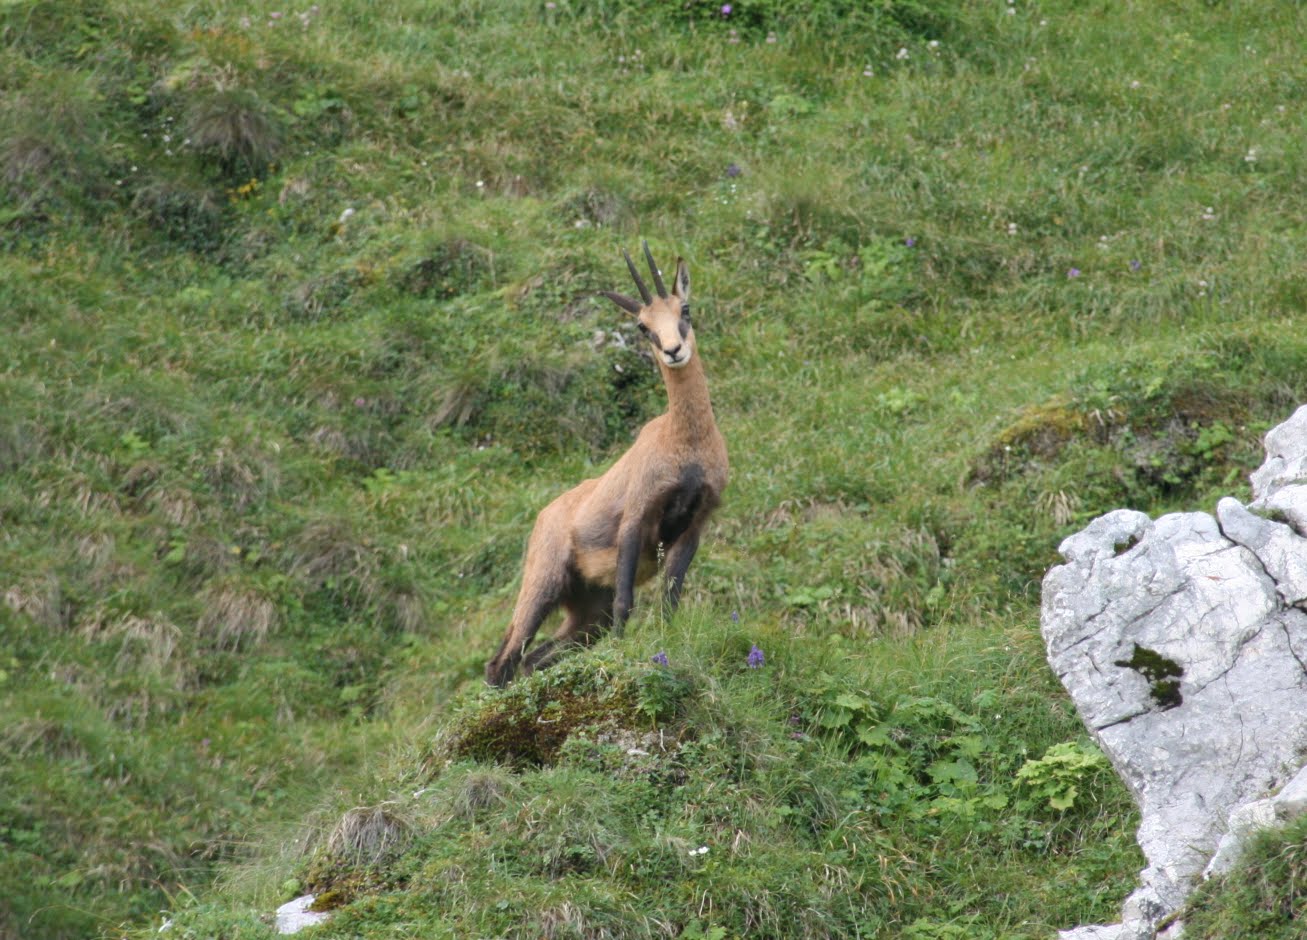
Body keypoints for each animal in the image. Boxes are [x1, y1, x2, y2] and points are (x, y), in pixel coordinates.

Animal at [485, 243, 728, 686]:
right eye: (643, 327)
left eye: (684, 309)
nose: (673, 351)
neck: (684, 444)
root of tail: (543, 516)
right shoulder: (636, 515)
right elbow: (626, 602)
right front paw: (622, 654)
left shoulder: (695, 523)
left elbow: (669, 601)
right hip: (543, 583)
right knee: (504, 658)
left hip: (585, 610)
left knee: (537, 657)